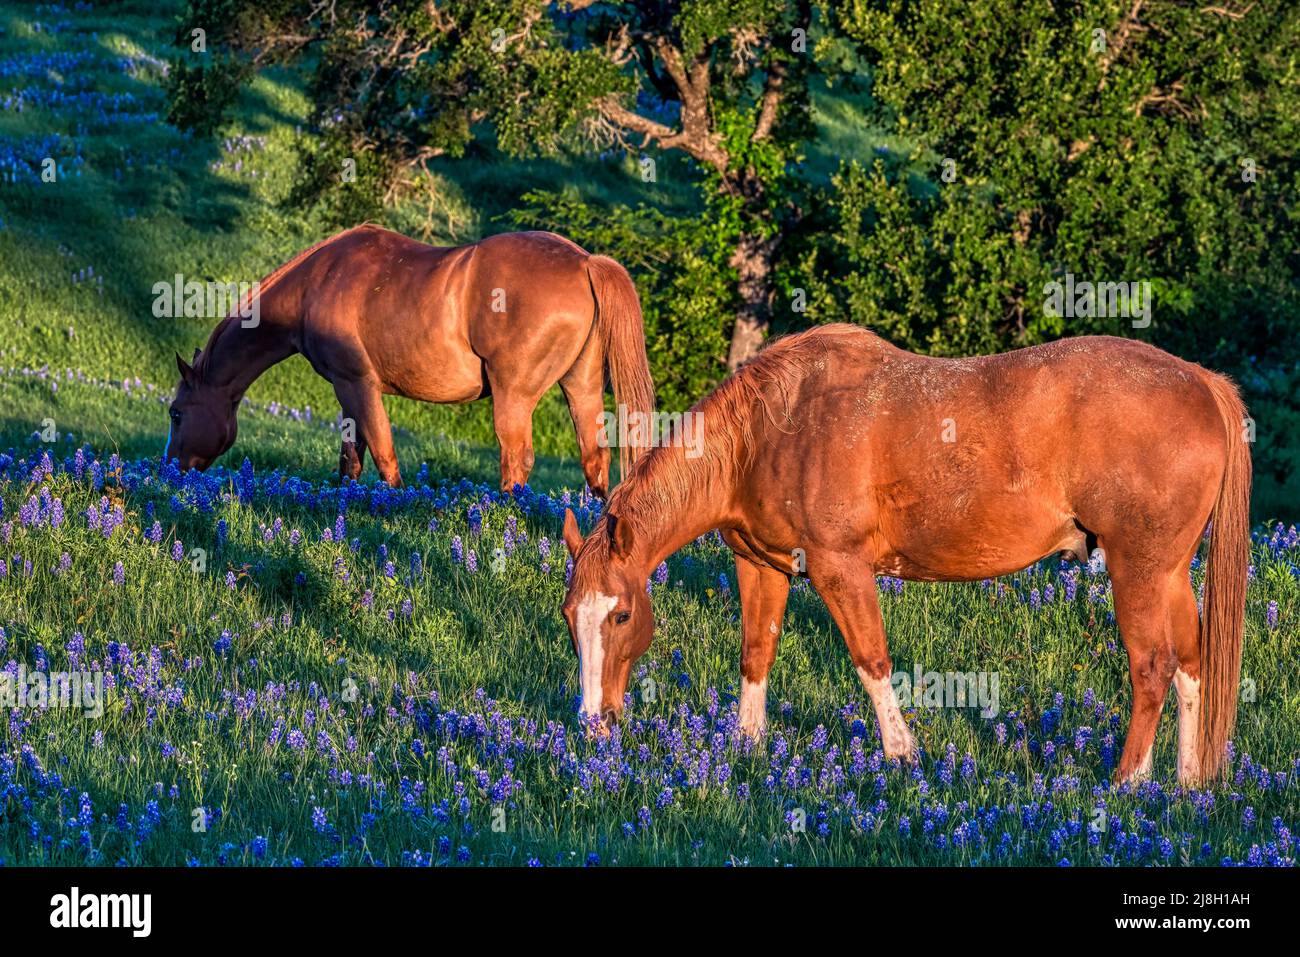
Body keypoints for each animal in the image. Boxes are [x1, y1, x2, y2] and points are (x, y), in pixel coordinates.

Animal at [165, 224, 655, 495]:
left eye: (175, 412)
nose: (169, 468)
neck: (316, 282)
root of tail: (585, 262)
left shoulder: (356, 383)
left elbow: (384, 456)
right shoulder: (346, 393)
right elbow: (351, 458)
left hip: (513, 396)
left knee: (516, 461)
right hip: (581, 388)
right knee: (594, 461)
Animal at [560, 323, 1250, 786]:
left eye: (621, 615)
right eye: (571, 618)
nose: (594, 724)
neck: (771, 428)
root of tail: (1201, 382)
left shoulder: (840, 568)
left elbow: (871, 661)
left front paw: (903, 755)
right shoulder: (763, 567)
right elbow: (756, 655)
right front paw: (747, 748)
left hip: (1137, 572)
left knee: (1153, 668)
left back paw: (1127, 783)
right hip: (1170, 575)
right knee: (1191, 665)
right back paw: (1187, 783)